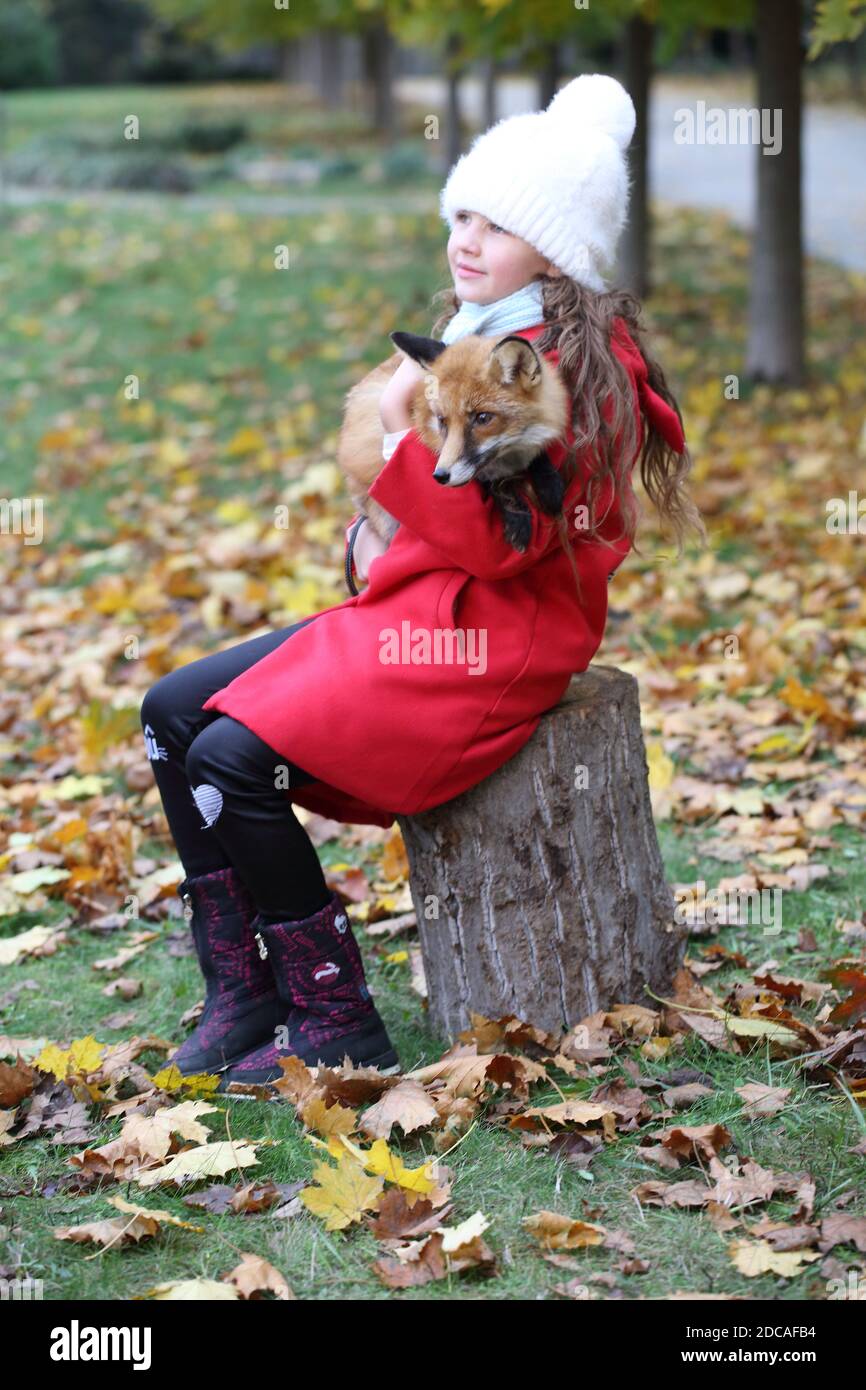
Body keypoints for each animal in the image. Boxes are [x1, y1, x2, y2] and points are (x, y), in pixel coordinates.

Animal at [337, 331, 571, 554]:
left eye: (482, 418)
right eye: (442, 420)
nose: (440, 476)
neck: (509, 454)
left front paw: (548, 482)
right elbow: (490, 482)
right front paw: (517, 517)